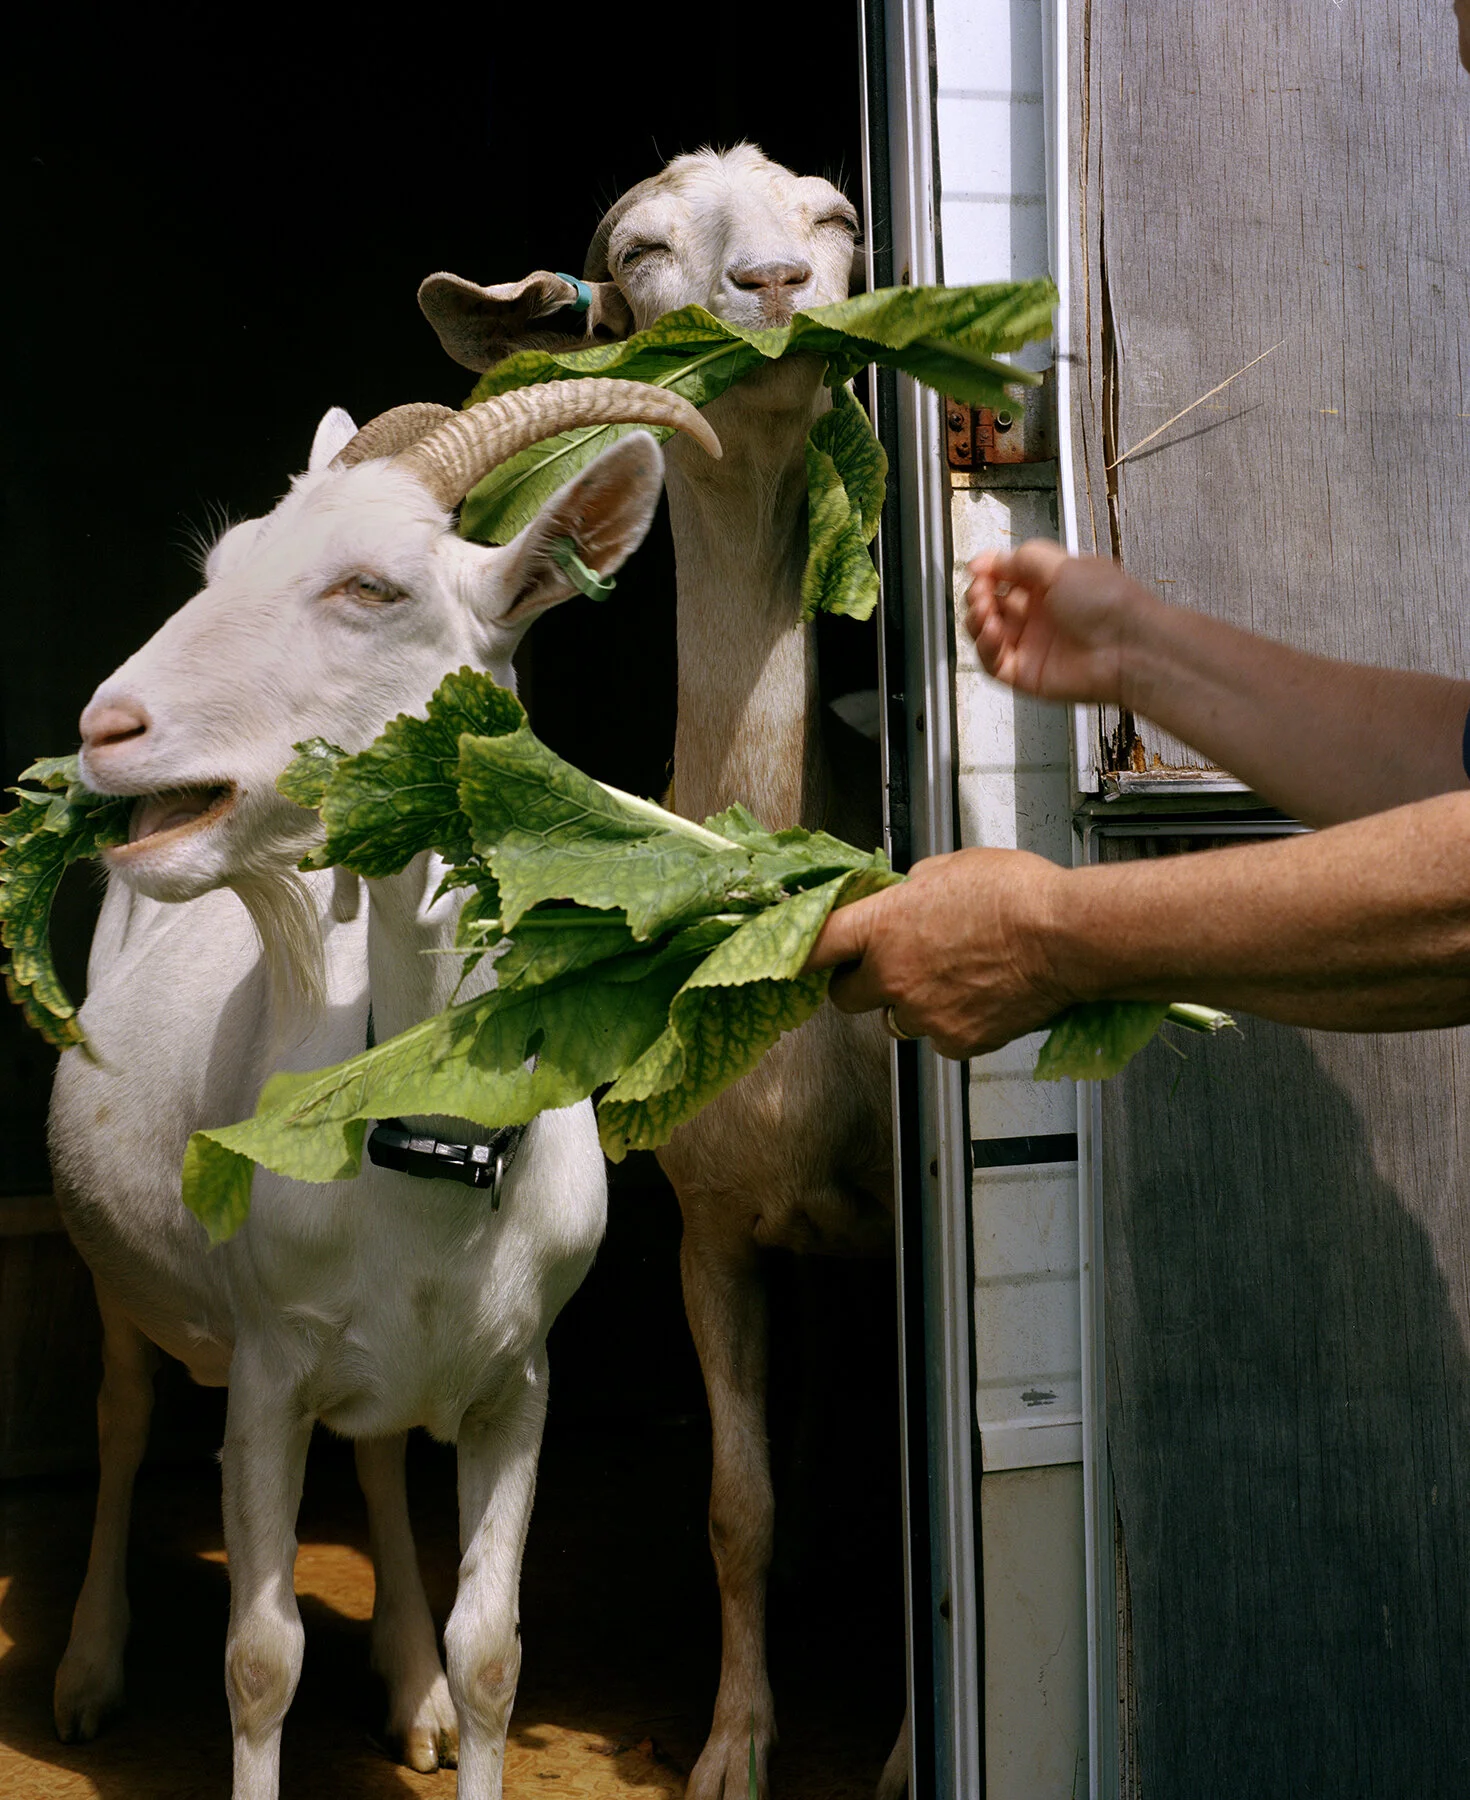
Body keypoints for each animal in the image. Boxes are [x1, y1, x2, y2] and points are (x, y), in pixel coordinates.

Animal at [47, 380, 718, 1800]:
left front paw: (443, 1688)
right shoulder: (265, 1370)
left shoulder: (520, 1381)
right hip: (121, 1276)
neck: (435, 1151)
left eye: (371, 587)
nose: (104, 733)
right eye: (223, 564)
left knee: (379, 1458)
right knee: (124, 1417)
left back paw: (407, 1685)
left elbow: (495, 1654)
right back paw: (85, 1671)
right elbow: (259, 1661)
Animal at [421, 146, 906, 1800]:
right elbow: (731, 1505)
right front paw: (731, 1746)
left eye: (837, 219)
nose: (774, 283)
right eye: (638, 246)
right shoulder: (707, 1221)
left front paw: (904, 1753)